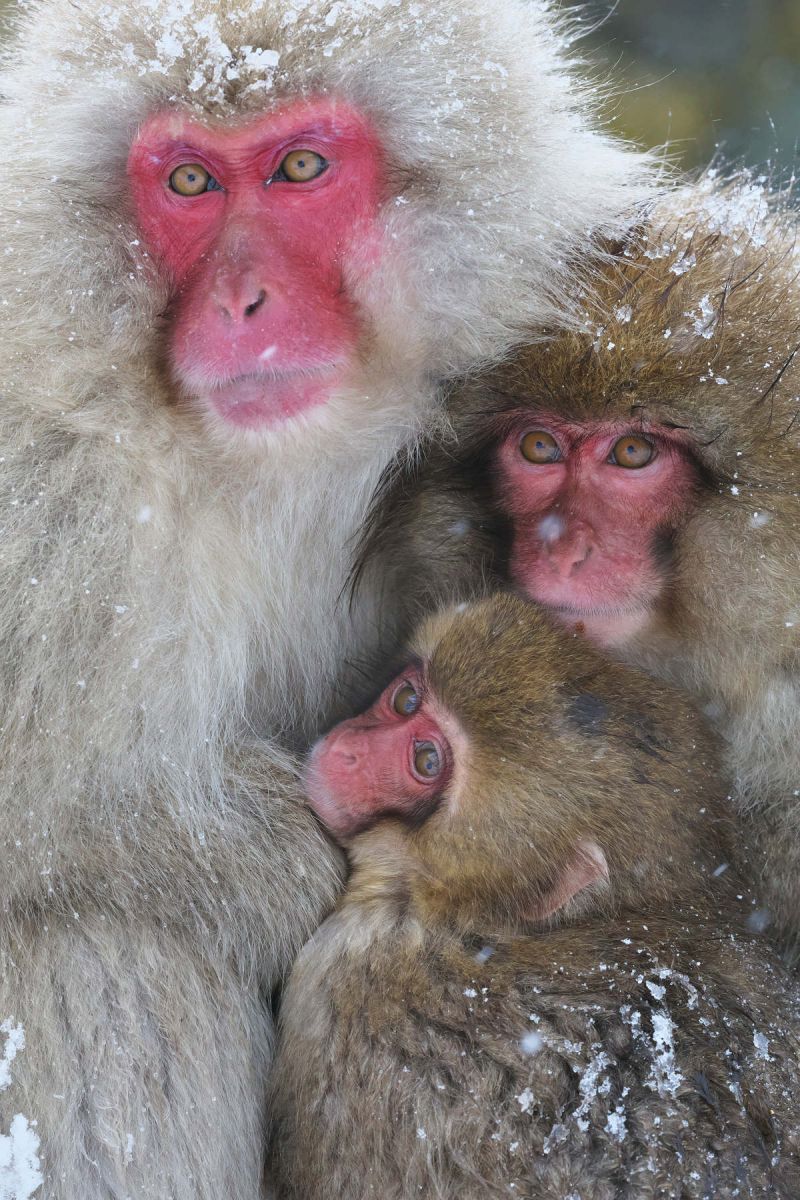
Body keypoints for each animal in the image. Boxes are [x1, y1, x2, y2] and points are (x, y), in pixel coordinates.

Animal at [0, 0, 661, 1194]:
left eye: (299, 167)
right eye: (188, 183)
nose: (240, 301)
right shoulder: (48, 509)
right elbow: (55, 818)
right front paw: (286, 866)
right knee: (97, 946)